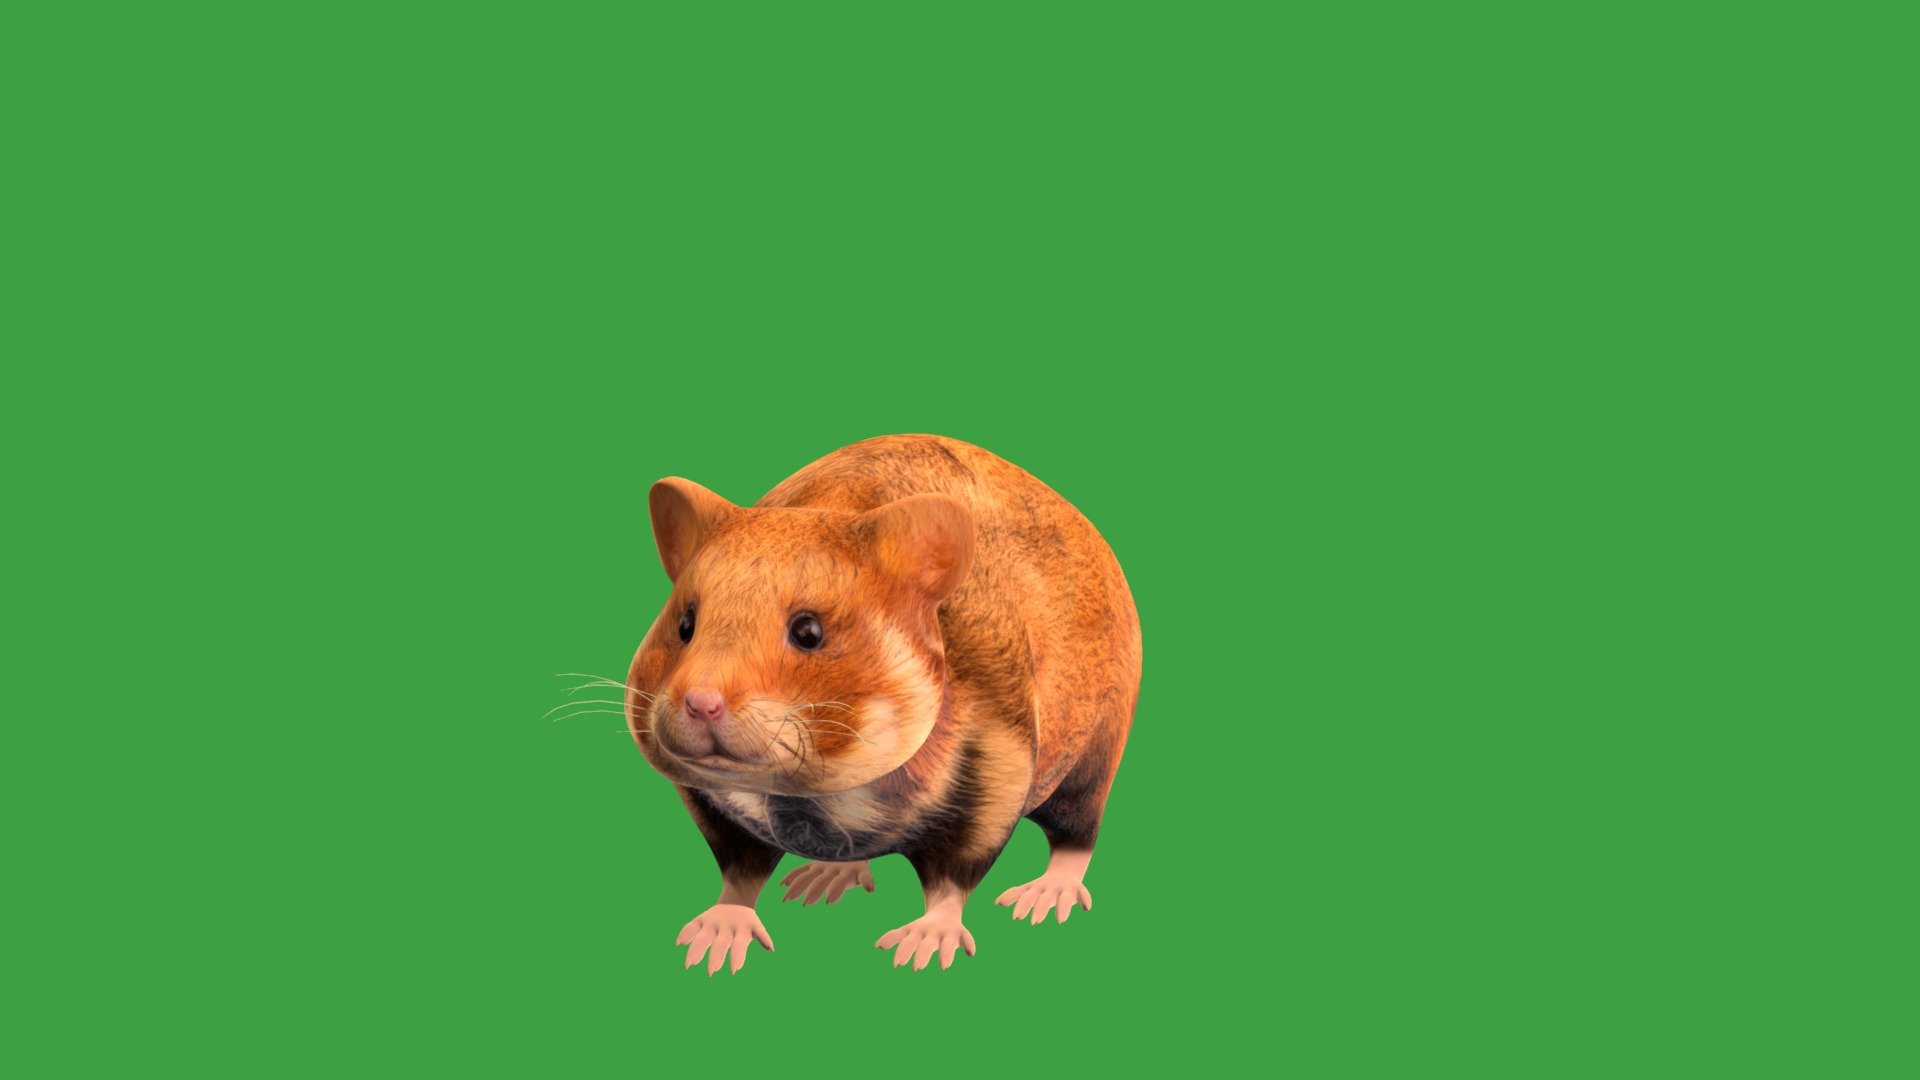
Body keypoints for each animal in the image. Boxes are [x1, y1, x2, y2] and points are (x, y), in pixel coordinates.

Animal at [624, 434, 1141, 973]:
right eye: (685, 624)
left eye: (808, 631)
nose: (700, 703)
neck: (814, 796)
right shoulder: (712, 805)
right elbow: (739, 872)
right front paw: (717, 935)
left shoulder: (998, 768)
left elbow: (955, 875)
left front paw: (924, 943)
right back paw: (827, 875)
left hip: (1094, 754)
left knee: (1078, 832)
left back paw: (1044, 894)